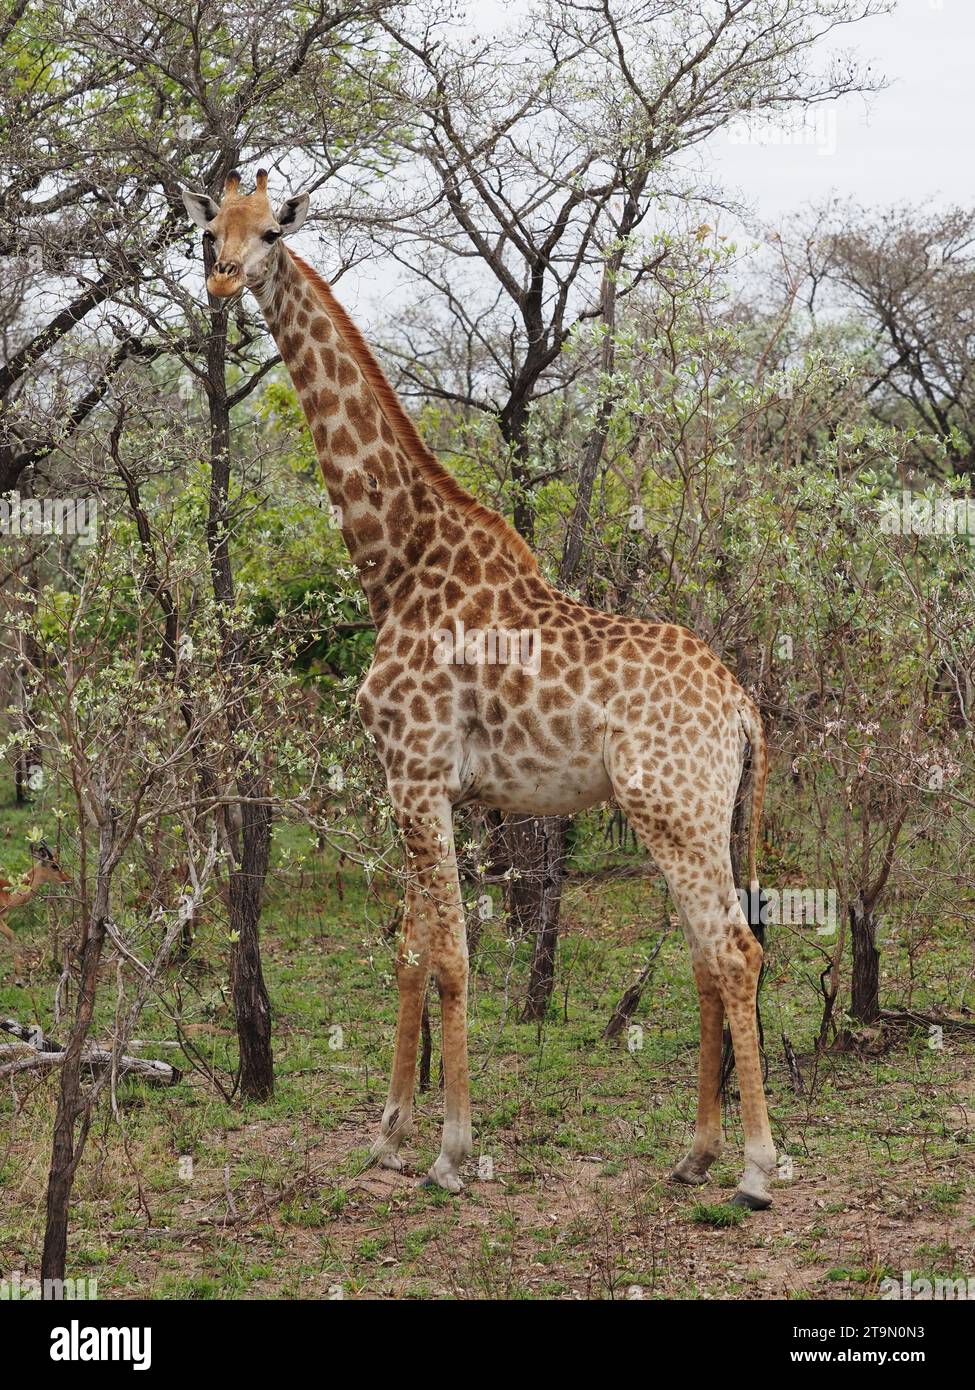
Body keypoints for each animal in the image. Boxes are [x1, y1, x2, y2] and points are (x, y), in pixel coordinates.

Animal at [181, 171, 777, 1208]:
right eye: (210, 228)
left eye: (272, 232)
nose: (221, 280)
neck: (393, 564)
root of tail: (740, 707)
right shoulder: (423, 785)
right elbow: (412, 952)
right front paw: (389, 1137)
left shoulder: (416, 772)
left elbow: (453, 959)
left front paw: (452, 1153)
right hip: (690, 814)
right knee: (709, 958)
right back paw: (694, 1154)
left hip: (675, 809)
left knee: (734, 953)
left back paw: (753, 1168)